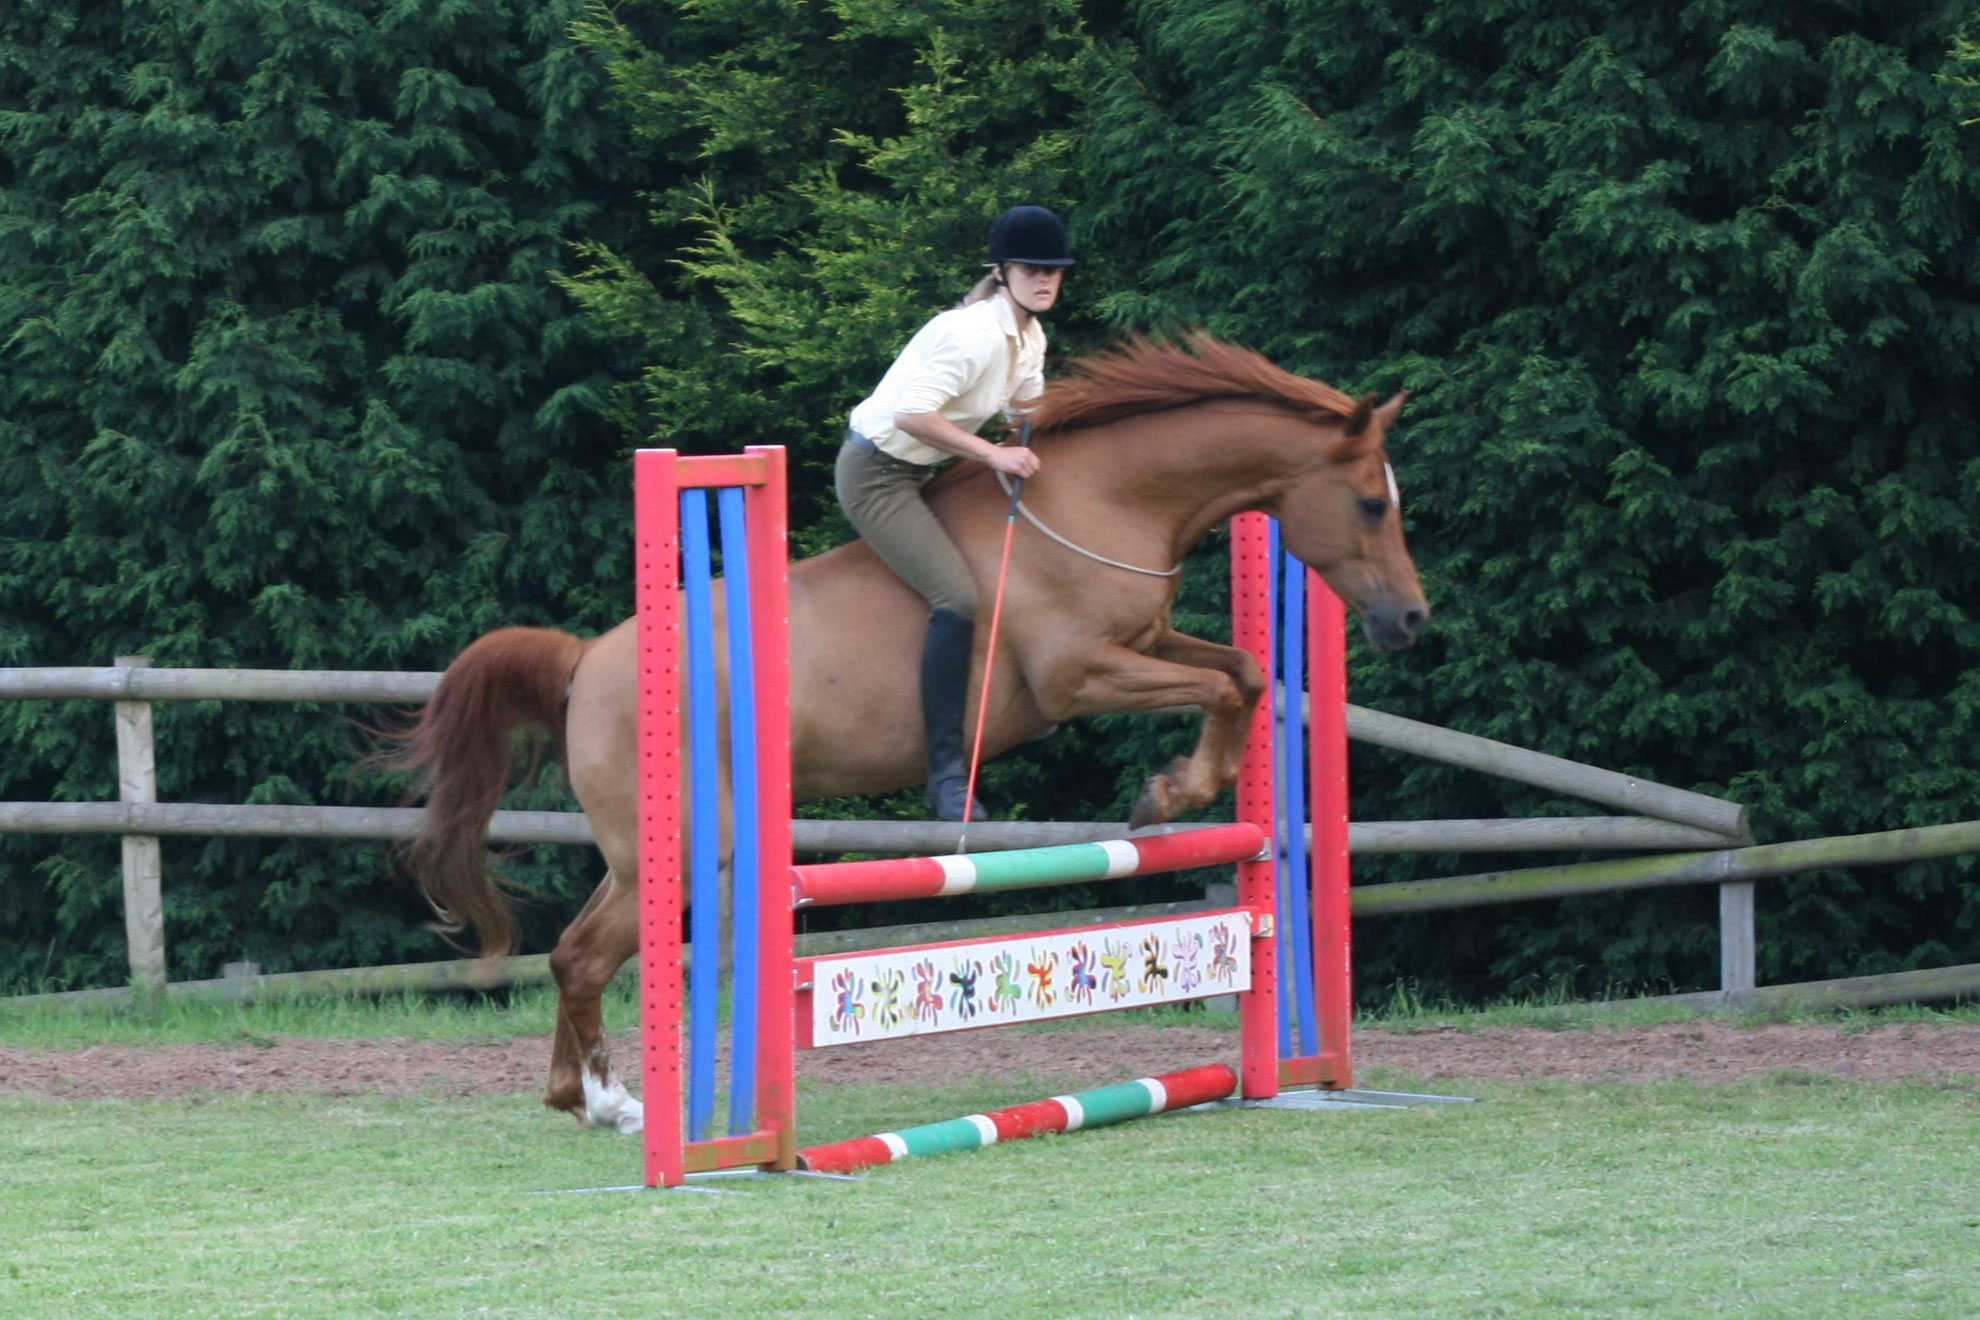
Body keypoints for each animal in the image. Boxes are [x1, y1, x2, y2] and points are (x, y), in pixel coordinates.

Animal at [383, 335, 1429, 1132]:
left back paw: (580, 1098)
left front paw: (1180, 786)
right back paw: (615, 1106)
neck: (1104, 501)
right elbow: (1218, 686)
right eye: (1371, 503)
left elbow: (1241, 673)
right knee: (586, 957)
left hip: (658, 850)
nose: (1411, 622)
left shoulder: (1143, 642)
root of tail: (587, 662)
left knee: (572, 951)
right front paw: (1169, 792)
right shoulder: (1079, 675)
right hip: (672, 851)